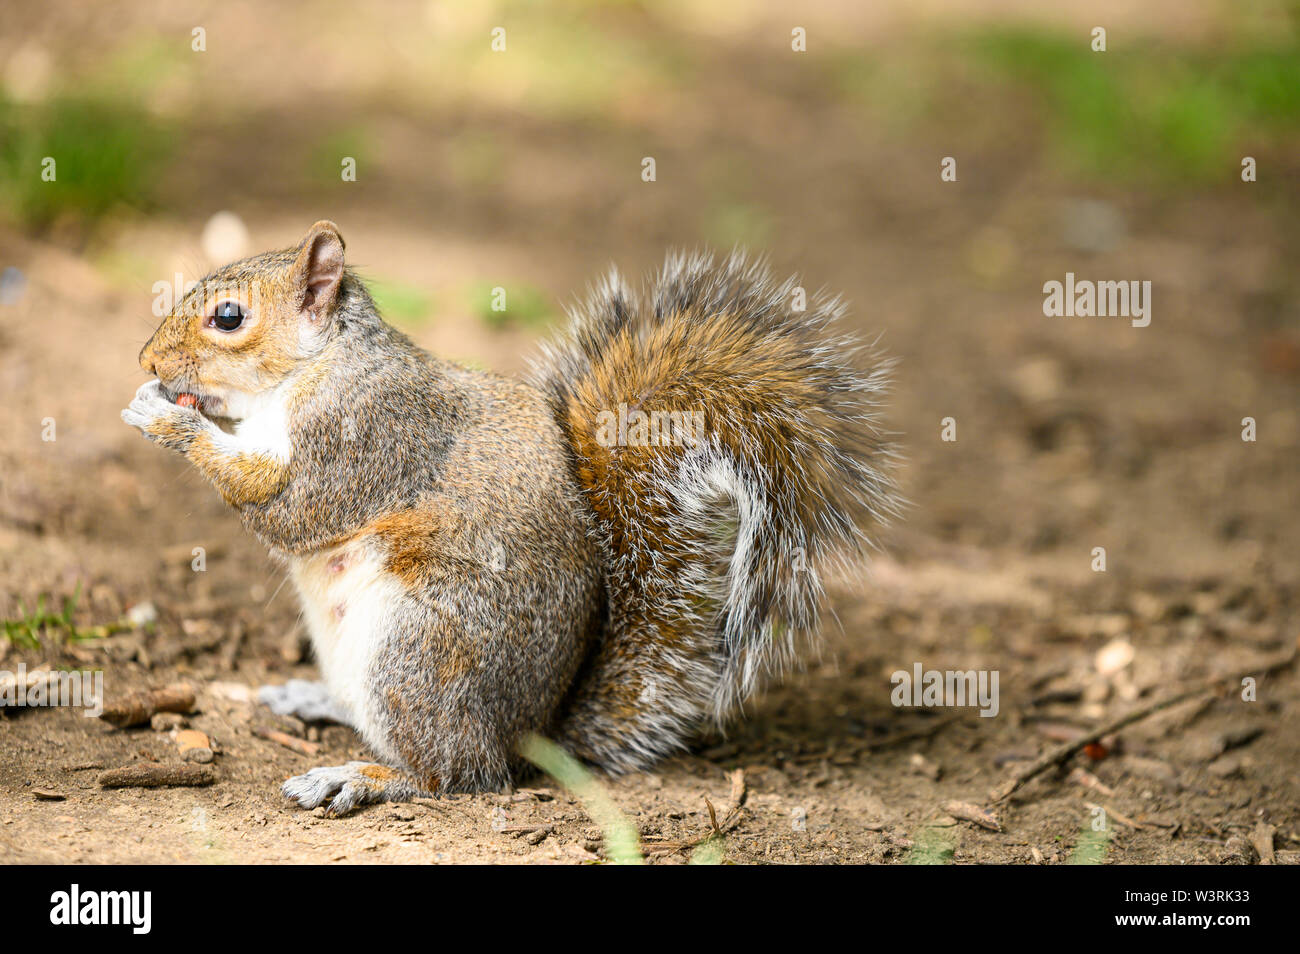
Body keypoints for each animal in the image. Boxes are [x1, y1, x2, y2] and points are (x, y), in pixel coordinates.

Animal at [122, 221, 898, 814]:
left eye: (229, 317)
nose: (147, 360)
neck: (315, 367)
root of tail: (531, 732)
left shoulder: (370, 434)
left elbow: (290, 506)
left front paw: (168, 420)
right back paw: (317, 701)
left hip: (415, 650)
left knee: (459, 773)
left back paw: (360, 778)